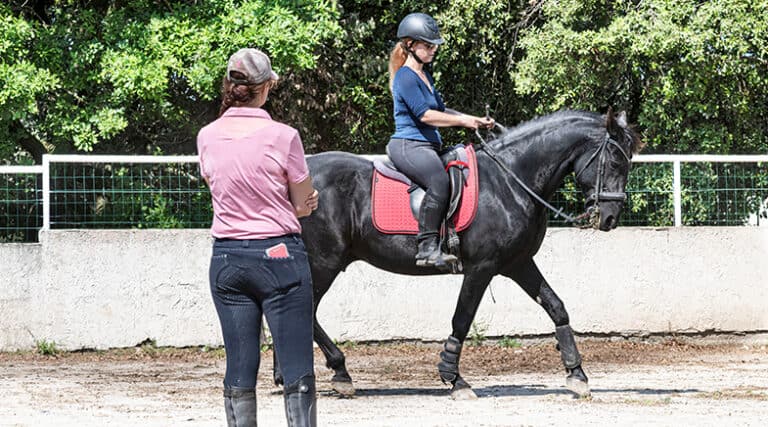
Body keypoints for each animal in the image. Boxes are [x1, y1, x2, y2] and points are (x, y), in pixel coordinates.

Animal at [279, 109, 642, 399]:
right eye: (614, 161)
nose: (609, 219)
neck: (510, 181)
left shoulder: (519, 263)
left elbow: (556, 307)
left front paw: (576, 375)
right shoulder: (481, 268)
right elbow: (462, 318)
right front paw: (454, 379)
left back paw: (290, 376)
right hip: (324, 262)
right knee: (304, 311)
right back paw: (339, 373)